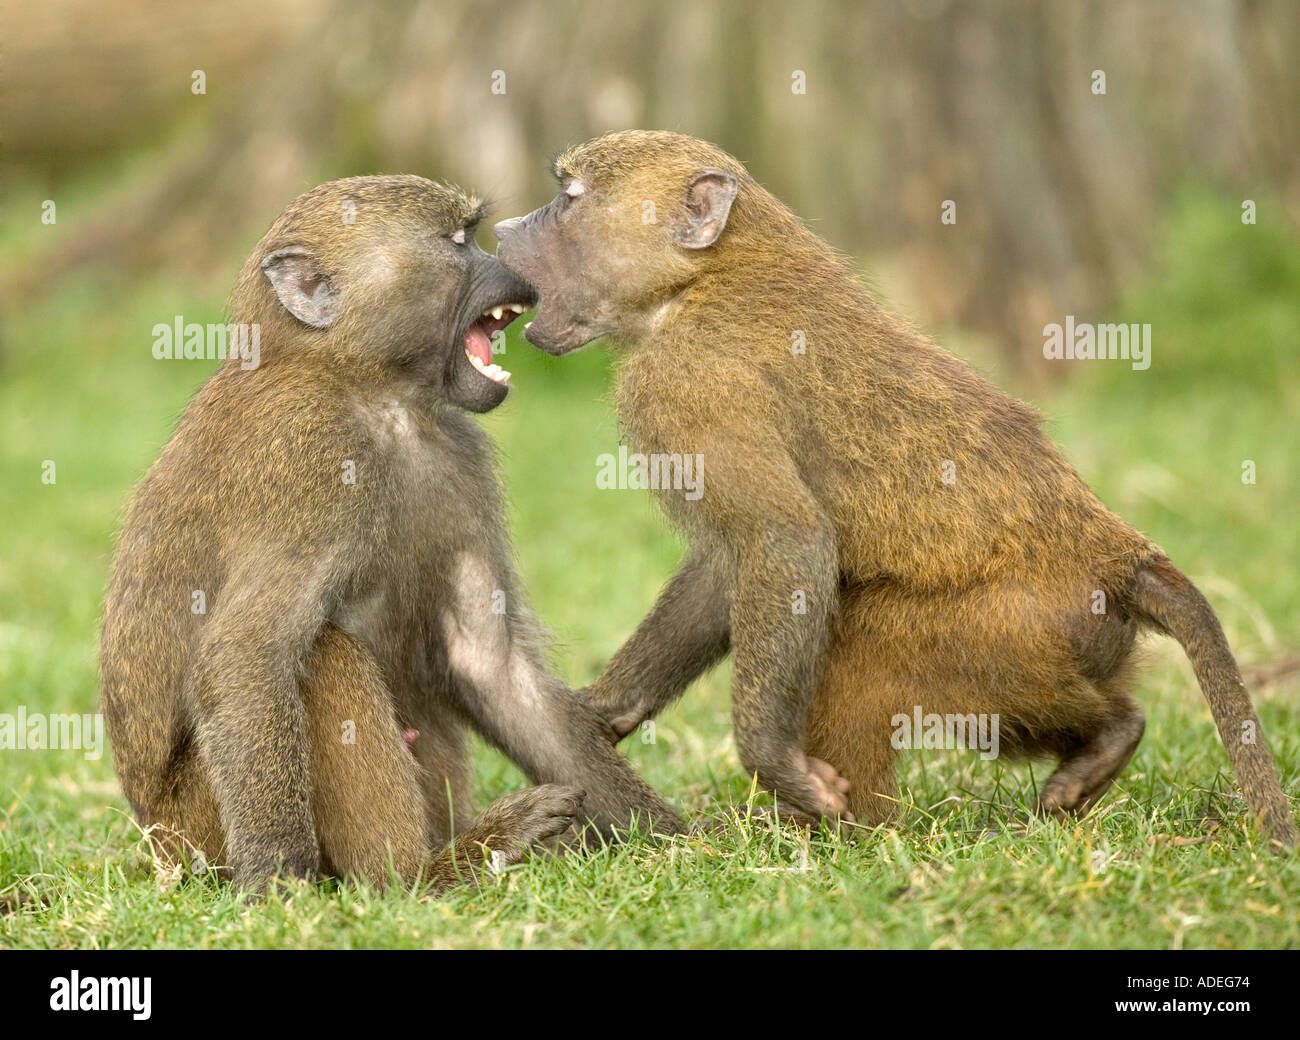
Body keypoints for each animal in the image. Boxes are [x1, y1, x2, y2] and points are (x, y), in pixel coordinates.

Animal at [100, 174, 683, 892]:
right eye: (458, 242)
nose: (514, 271)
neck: (368, 389)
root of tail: (156, 840)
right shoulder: (312, 455)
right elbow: (246, 652)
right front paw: (278, 880)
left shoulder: (461, 459)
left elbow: (488, 663)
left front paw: (680, 838)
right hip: (198, 829)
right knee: (324, 653)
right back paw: (425, 874)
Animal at [493, 130, 1298, 847]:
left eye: (567, 197)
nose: (503, 231)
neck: (702, 279)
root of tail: (1116, 554)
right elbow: (730, 564)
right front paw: (598, 715)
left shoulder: (685, 382)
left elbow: (784, 538)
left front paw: (775, 765)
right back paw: (1107, 739)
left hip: (1016, 625)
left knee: (863, 653)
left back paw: (833, 832)